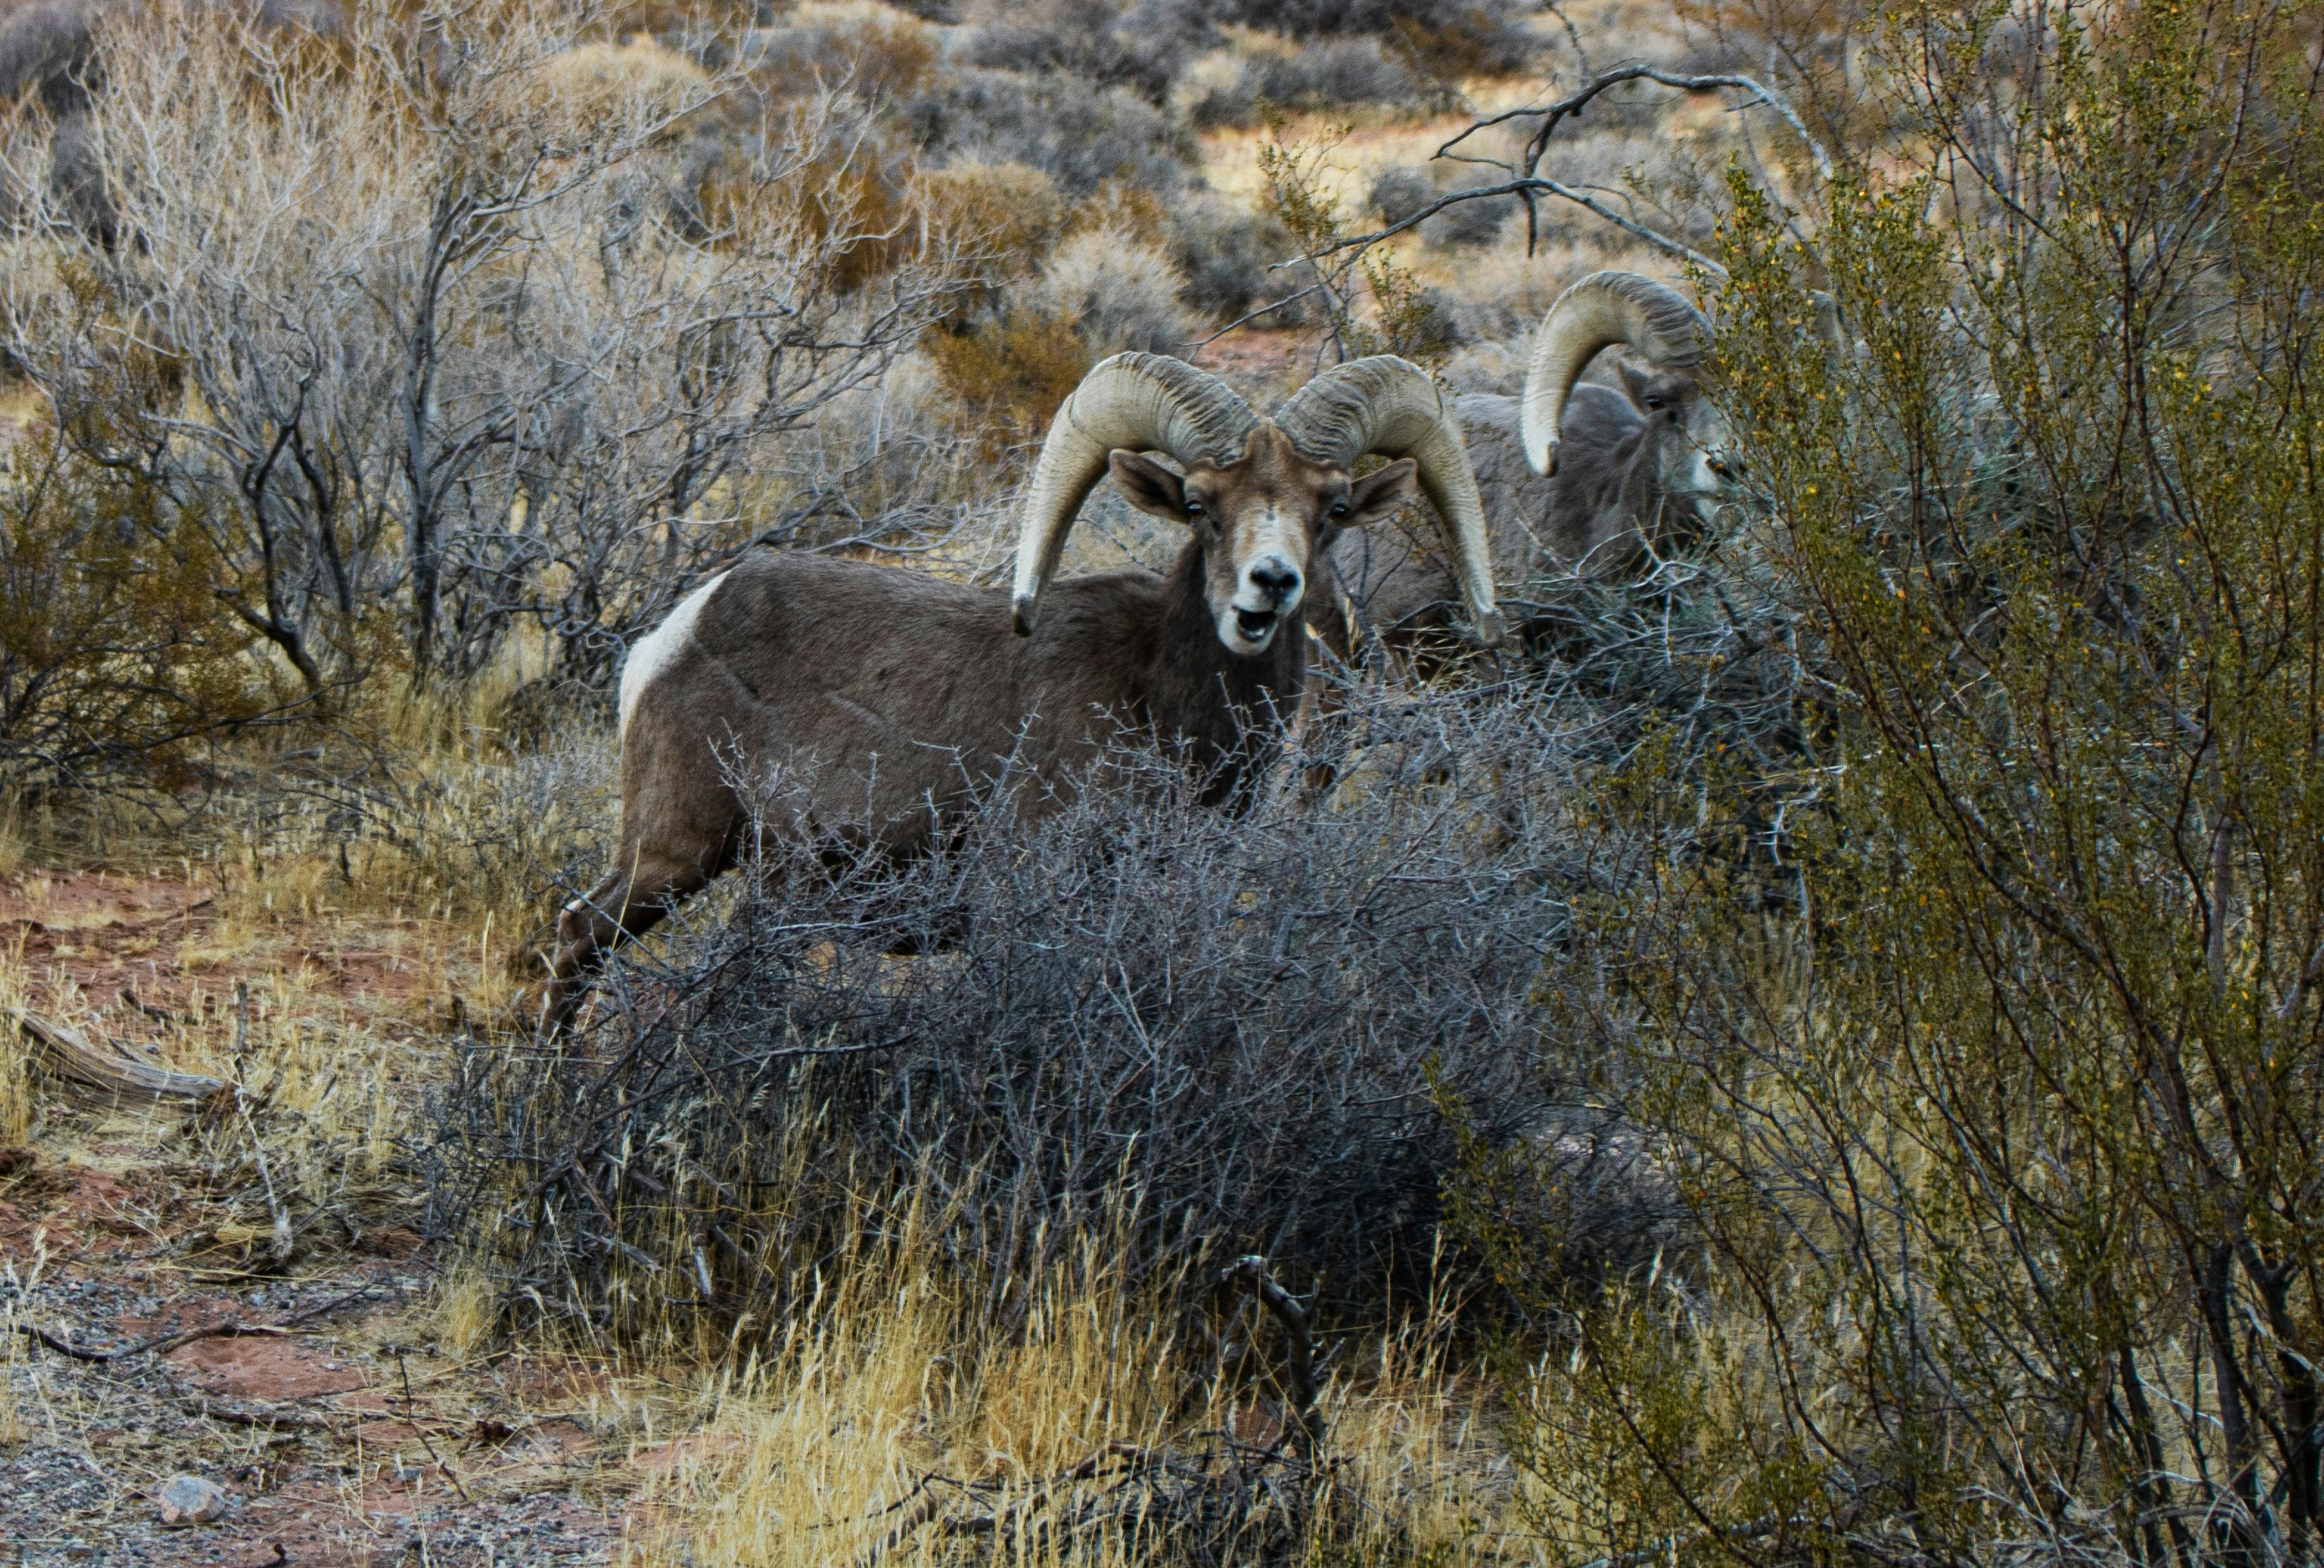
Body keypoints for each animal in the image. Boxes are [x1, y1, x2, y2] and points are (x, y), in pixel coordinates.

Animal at [539, 351, 1502, 1032]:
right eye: (1199, 505)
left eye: (1330, 509)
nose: (1268, 587)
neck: (1161, 709)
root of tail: (676, 632)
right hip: (677, 851)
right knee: (579, 939)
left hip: (759, 891)